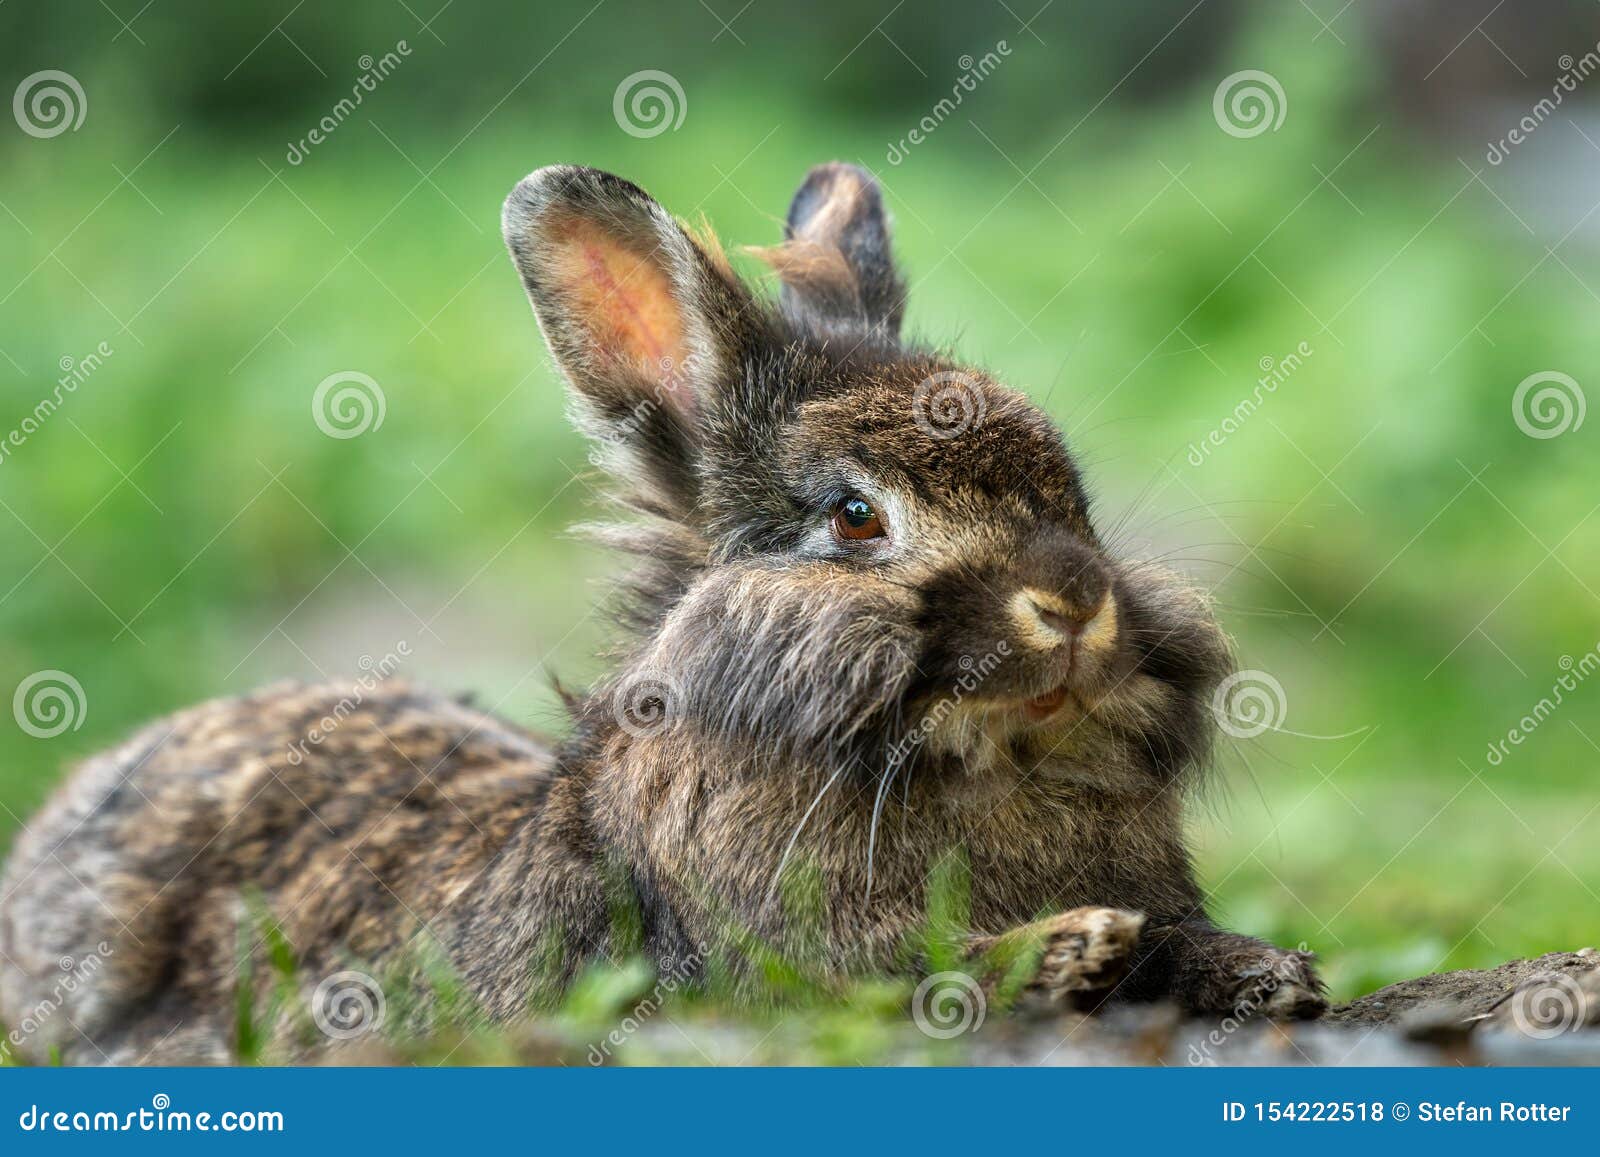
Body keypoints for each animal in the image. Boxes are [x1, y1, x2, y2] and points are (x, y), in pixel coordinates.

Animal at [0, 161, 1325, 1065]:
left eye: (1074, 493)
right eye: (854, 517)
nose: (1074, 605)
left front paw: (1273, 974)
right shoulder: (776, 968)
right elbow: (910, 977)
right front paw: (1072, 946)